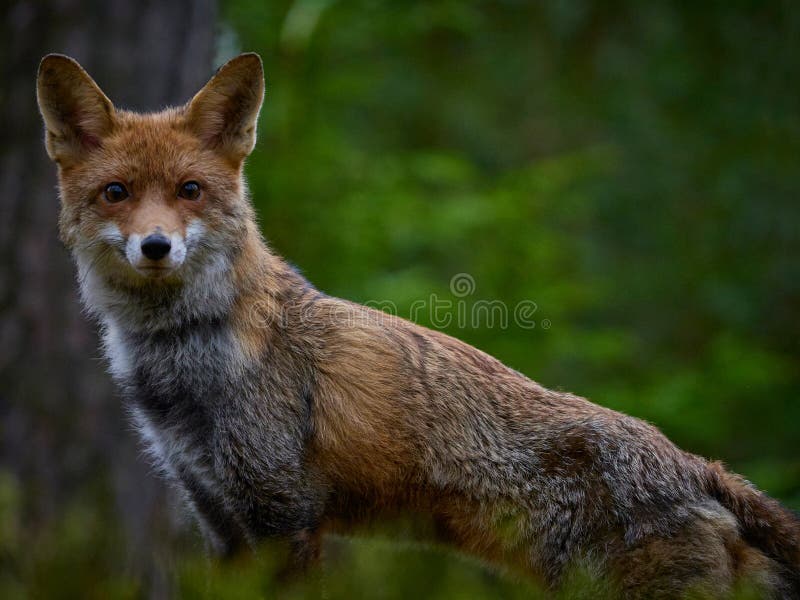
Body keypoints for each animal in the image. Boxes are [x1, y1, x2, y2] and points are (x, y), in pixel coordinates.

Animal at [36, 52, 799, 597]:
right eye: (116, 193)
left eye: (189, 191)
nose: (155, 246)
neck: (188, 358)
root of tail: (697, 466)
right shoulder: (220, 521)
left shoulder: (285, 517)